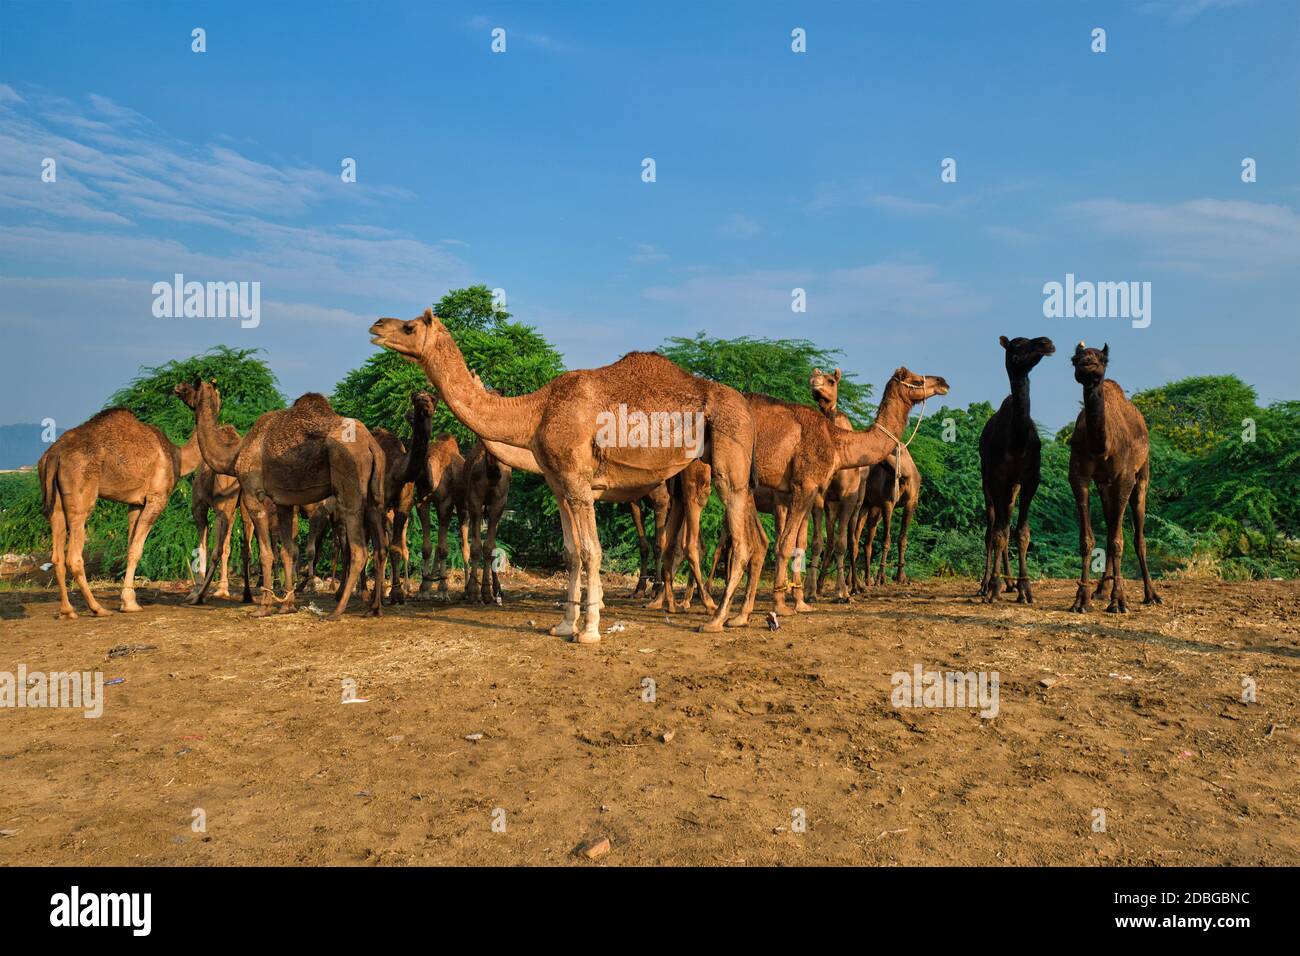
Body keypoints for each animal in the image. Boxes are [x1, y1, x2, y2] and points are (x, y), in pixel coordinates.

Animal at [39, 408, 202, 618]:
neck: (179, 456)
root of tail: (54, 455)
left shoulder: (135, 503)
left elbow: (131, 546)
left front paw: (128, 601)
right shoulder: (156, 498)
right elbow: (137, 550)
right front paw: (130, 604)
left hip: (55, 504)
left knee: (57, 556)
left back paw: (67, 611)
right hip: (80, 500)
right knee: (74, 556)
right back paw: (98, 608)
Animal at [178, 380, 388, 620]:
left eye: (192, 385)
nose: (177, 387)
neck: (235, 455)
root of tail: (372, 445)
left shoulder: (253, 493)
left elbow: (266, 554)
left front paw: (264, 606)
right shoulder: (284, 502)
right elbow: (288, 552)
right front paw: (287, 605)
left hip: (348, 483)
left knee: (359, 550)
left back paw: (336, 611)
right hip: (374, 496)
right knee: (379, 545)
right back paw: (374, 608)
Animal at [462, 440, 512, 603]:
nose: (496, 473)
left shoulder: (496, 502)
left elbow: (489, 546)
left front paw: (488, 591)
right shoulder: (477, 500)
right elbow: (480, 546)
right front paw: (475, 591)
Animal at [977, 335, 1056, 603]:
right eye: (1017, 346)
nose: (1047, 342)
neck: (1016, 443)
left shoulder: (1031, 478)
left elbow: (1022, 532)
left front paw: (1025, 589)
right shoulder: (997, 477)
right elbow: (998, 533)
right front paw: (993, 587)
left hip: (1013, 486)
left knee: (1006, 523)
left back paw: (1009, 583)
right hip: (987, 480)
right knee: (992, 529)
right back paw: (985, 585)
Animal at [1068, 343, 1162, 613]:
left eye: (1102, 358)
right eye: (1075, 358)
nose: (1087, 363)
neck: (1103, 445)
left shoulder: (1125, 478)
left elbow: (1118, 541)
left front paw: (1119, 600)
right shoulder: (1079, 477)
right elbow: (1087, 540)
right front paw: (1081, 599)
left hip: (1143, 474)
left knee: (1137, 535)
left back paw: (1151, 594)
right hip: (1104, 485)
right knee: (1111, 524)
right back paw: (1101, 590)